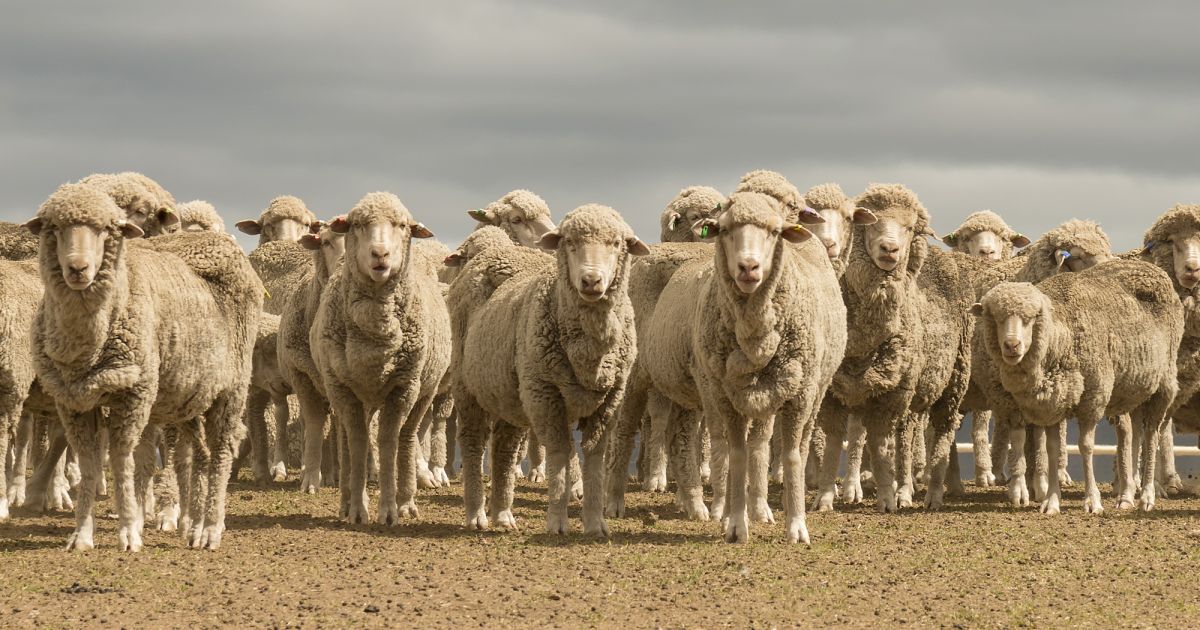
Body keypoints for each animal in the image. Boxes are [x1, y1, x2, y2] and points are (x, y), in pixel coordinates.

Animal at [26, 182, 261, 551]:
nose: (78, 268)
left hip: (232, 387)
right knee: (201, 456)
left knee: (221, 453)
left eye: (106, 230)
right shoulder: (73, 400)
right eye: (55, 228)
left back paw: (210, 528)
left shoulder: (134, 392)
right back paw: (194, 526)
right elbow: (91, 462)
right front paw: (82, 534)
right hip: (191, 394)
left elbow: (123, 459)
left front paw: (129, 531)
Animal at [310, 192, 451, 524]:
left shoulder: (403, 387)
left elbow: (388, 441)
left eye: (402, 225)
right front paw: (358, 510)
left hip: (423, 391)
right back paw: (347, 500)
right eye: (358, 224)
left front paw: (388, 510)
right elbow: (359, 443)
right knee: (347, 439)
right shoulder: (342, 388)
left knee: (407, 437)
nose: (380, 254)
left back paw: (406, 501)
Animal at [453, 204, 647, 536]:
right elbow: (559, 453)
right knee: (473, 442)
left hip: (510, 392)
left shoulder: (610, 401)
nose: (591, 280)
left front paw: (595, 522)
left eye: (615, 244)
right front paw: (557, 520)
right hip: (469, 387)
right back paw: (476, 513)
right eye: (569, 242)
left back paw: (503, 513)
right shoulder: (546, 395)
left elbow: (593, 456)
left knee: (504, 449)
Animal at [815, 184, 977, 514]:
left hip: (952, 379)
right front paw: (825, 496)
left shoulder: (890, 394)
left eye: (909, 227)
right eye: (871, 222)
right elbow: (835, 442)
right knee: (906, 435)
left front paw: (888, 498)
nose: (889, 249)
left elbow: (879, 445)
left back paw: (931, 493)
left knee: (940, 432)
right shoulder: (833, 391)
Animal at [972, 259, 1183, 513]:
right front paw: (1051, 501)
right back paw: (1126, 496)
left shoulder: (1093, 398)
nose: (1012, 345)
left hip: (1163, 384)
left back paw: (1147, 496)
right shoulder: (1052, 402)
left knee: (1151, 435)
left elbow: (1086, 446)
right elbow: (1052, 449)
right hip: (1133, 389)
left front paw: (1092, 500)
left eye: (1031, 318)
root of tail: (1150, 267)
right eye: (995, 318)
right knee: (1132, 434)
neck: (1062, 338)